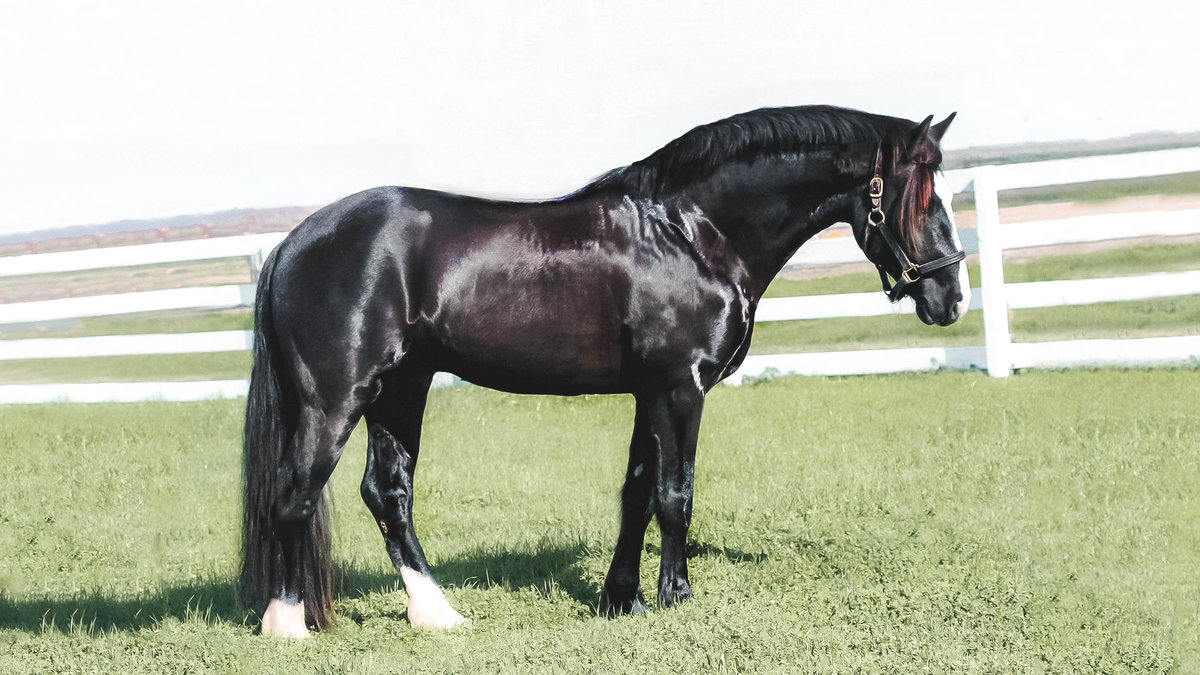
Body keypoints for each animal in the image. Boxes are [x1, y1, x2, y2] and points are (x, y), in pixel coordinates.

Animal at [240, 105, 970, 638]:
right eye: (921, 197)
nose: (953, 297)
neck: (691, 235)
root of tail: (292, 242)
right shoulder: (681, 388)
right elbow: (676, 494)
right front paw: (676, 596)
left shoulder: (651, 392)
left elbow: (637, 493)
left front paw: (625, 598)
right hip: (337, 399)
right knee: (294, 492)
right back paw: (286, 626)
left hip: (400, 391)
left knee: (387, 492)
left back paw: (437, 615)